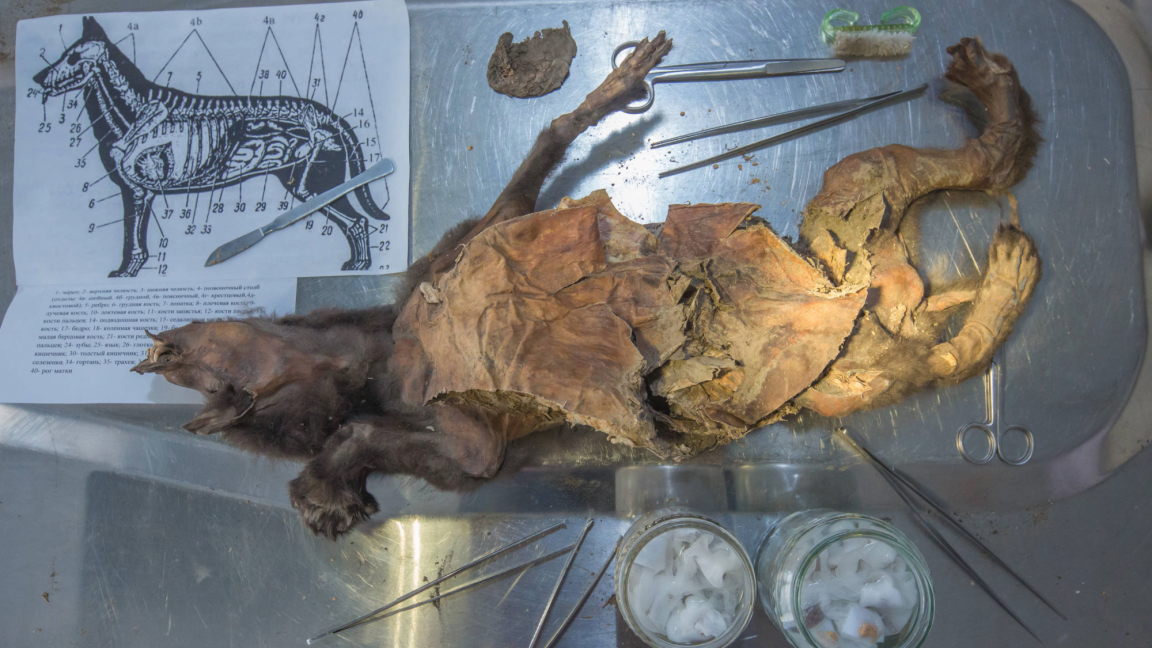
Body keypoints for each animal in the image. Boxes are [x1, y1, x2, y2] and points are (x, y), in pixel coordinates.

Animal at [34, 16, 390, 277]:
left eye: (73, 57)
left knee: (357, 222)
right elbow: (136, 238)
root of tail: (329, 116)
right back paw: (358, 265)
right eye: (64, 53)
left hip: (314, 186)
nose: (37, 78)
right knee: (356, 222)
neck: (131, 111)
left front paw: (125, 273)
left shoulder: (136, 190)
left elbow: (133, 240)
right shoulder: (139, 192)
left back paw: (359, 266)